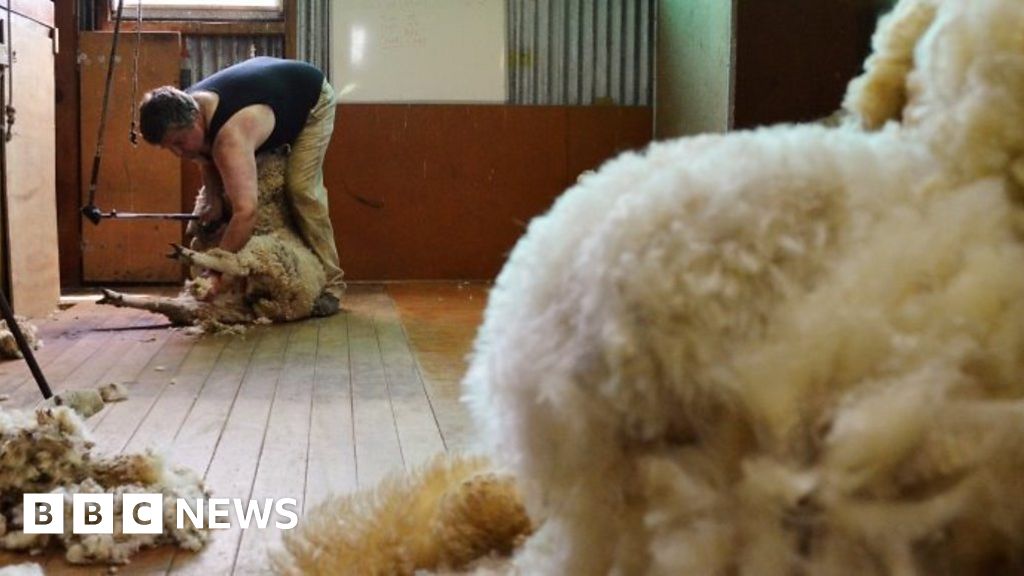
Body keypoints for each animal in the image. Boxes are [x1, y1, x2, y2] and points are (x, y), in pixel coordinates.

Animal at [97, 152, 330, 329]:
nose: (284, 147)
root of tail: (288, 306)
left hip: (267, 250)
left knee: (238, 265)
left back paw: (189, 255)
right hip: (223, 305)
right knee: (171, 305)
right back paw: (116, 297)